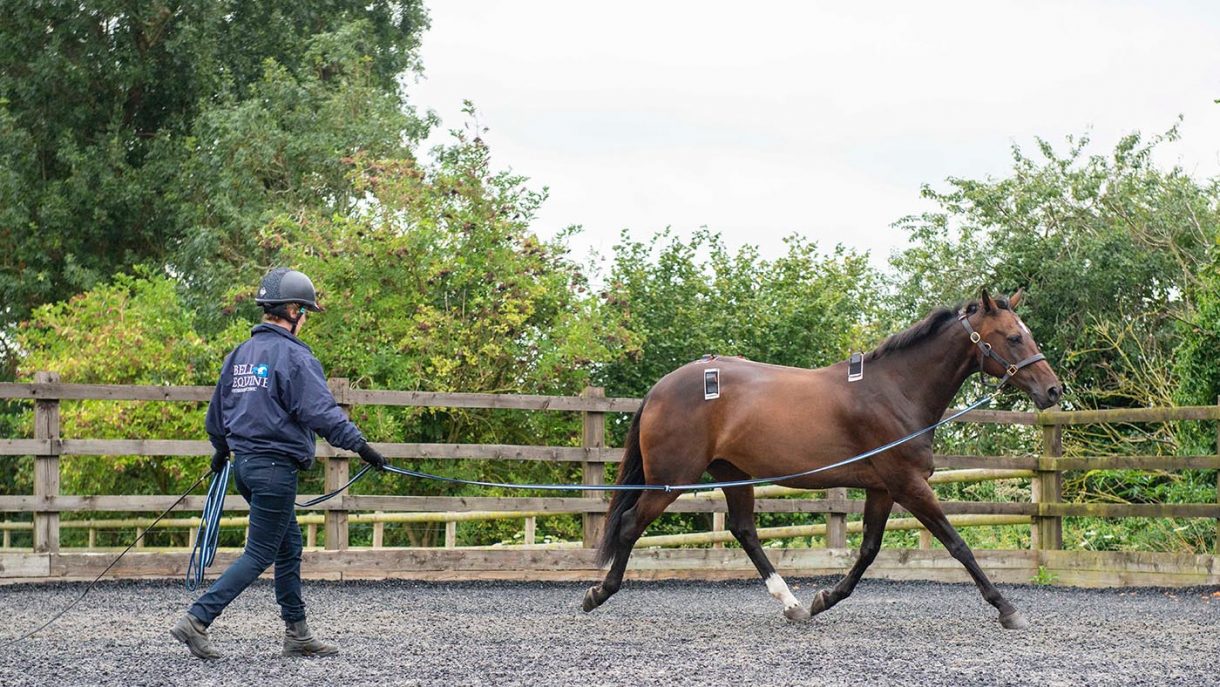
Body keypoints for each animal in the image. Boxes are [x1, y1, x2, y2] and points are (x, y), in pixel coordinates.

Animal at [582, 289, 1062, 629]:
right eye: (1014, 337)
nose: (1053, 390)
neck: (896, 390)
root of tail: (661, 387)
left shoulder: (882, 488)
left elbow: (868, 550)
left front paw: (823, 600)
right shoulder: (908, 483)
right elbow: (957, 543)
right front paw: (1007, 608)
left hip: (732, 473)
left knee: (744, 530)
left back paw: (792, 604)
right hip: (673, 478)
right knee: (631, 524)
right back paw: (598, 593)